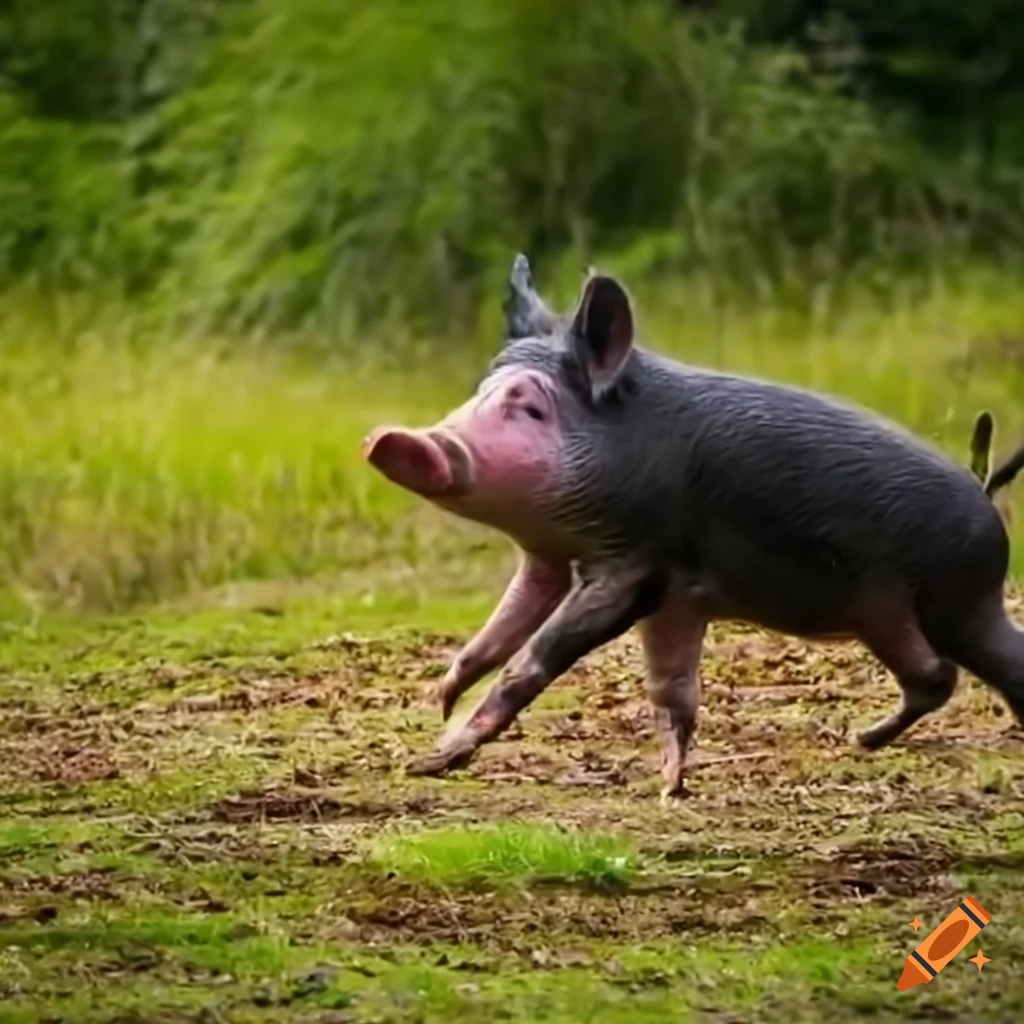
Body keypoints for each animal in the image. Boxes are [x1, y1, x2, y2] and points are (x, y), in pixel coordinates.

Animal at [363, 254, 1024, 799]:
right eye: (479, 392)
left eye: (528, 406)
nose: (388, 438)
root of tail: (986, 502)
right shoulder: (633, 582)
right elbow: (659, 685)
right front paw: (668, 788)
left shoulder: (635, 565)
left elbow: (534, 659)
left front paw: (431, 759)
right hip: (936, 609)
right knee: (969, 670)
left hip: (911, 603)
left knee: (937, 675)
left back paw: (861, 739)